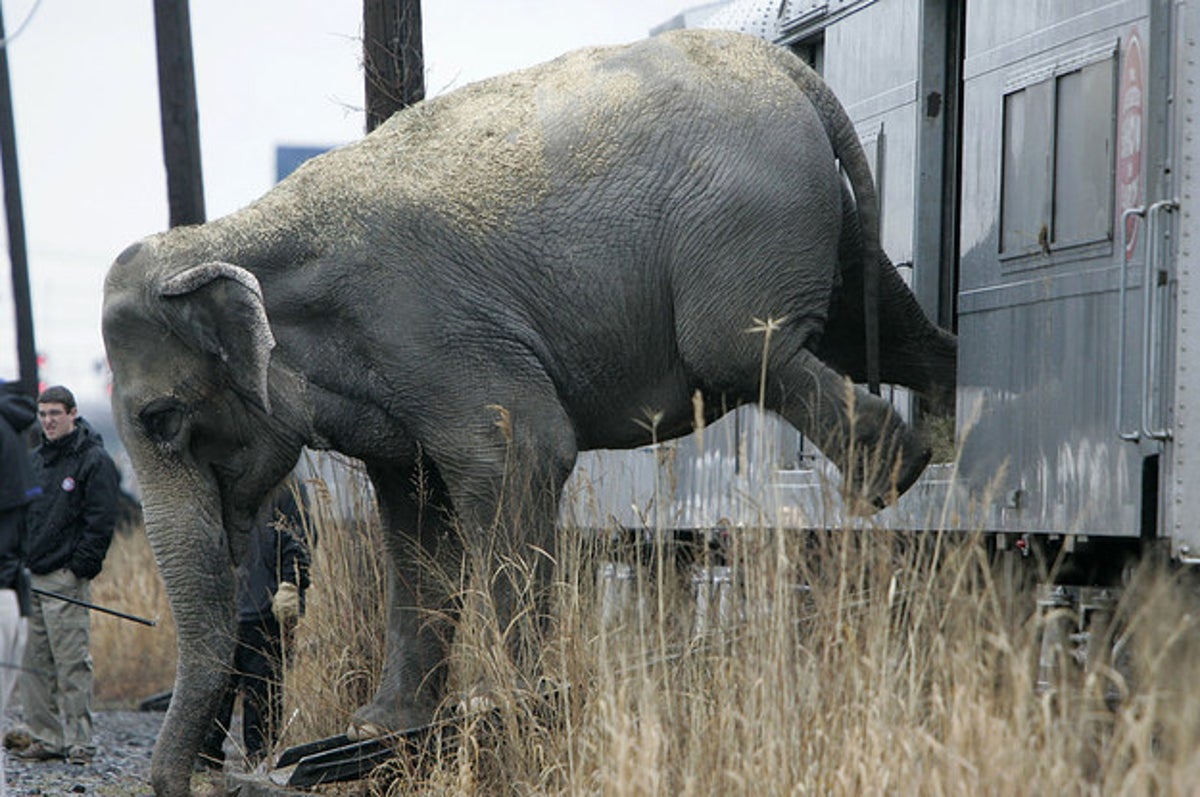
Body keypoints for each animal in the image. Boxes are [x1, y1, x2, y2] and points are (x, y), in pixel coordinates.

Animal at [101, 28, 955, 795]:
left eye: (161, 419)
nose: (208, 781)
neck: (234, 232)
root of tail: (789, 70)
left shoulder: (431, 326)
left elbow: (518, 455)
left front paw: (518, 704)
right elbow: (416, 514)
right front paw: (380, 726)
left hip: (745, 225)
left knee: (743, 352)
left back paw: (892, 474)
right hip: (817, 227)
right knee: (884, 329)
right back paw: (934, 440)